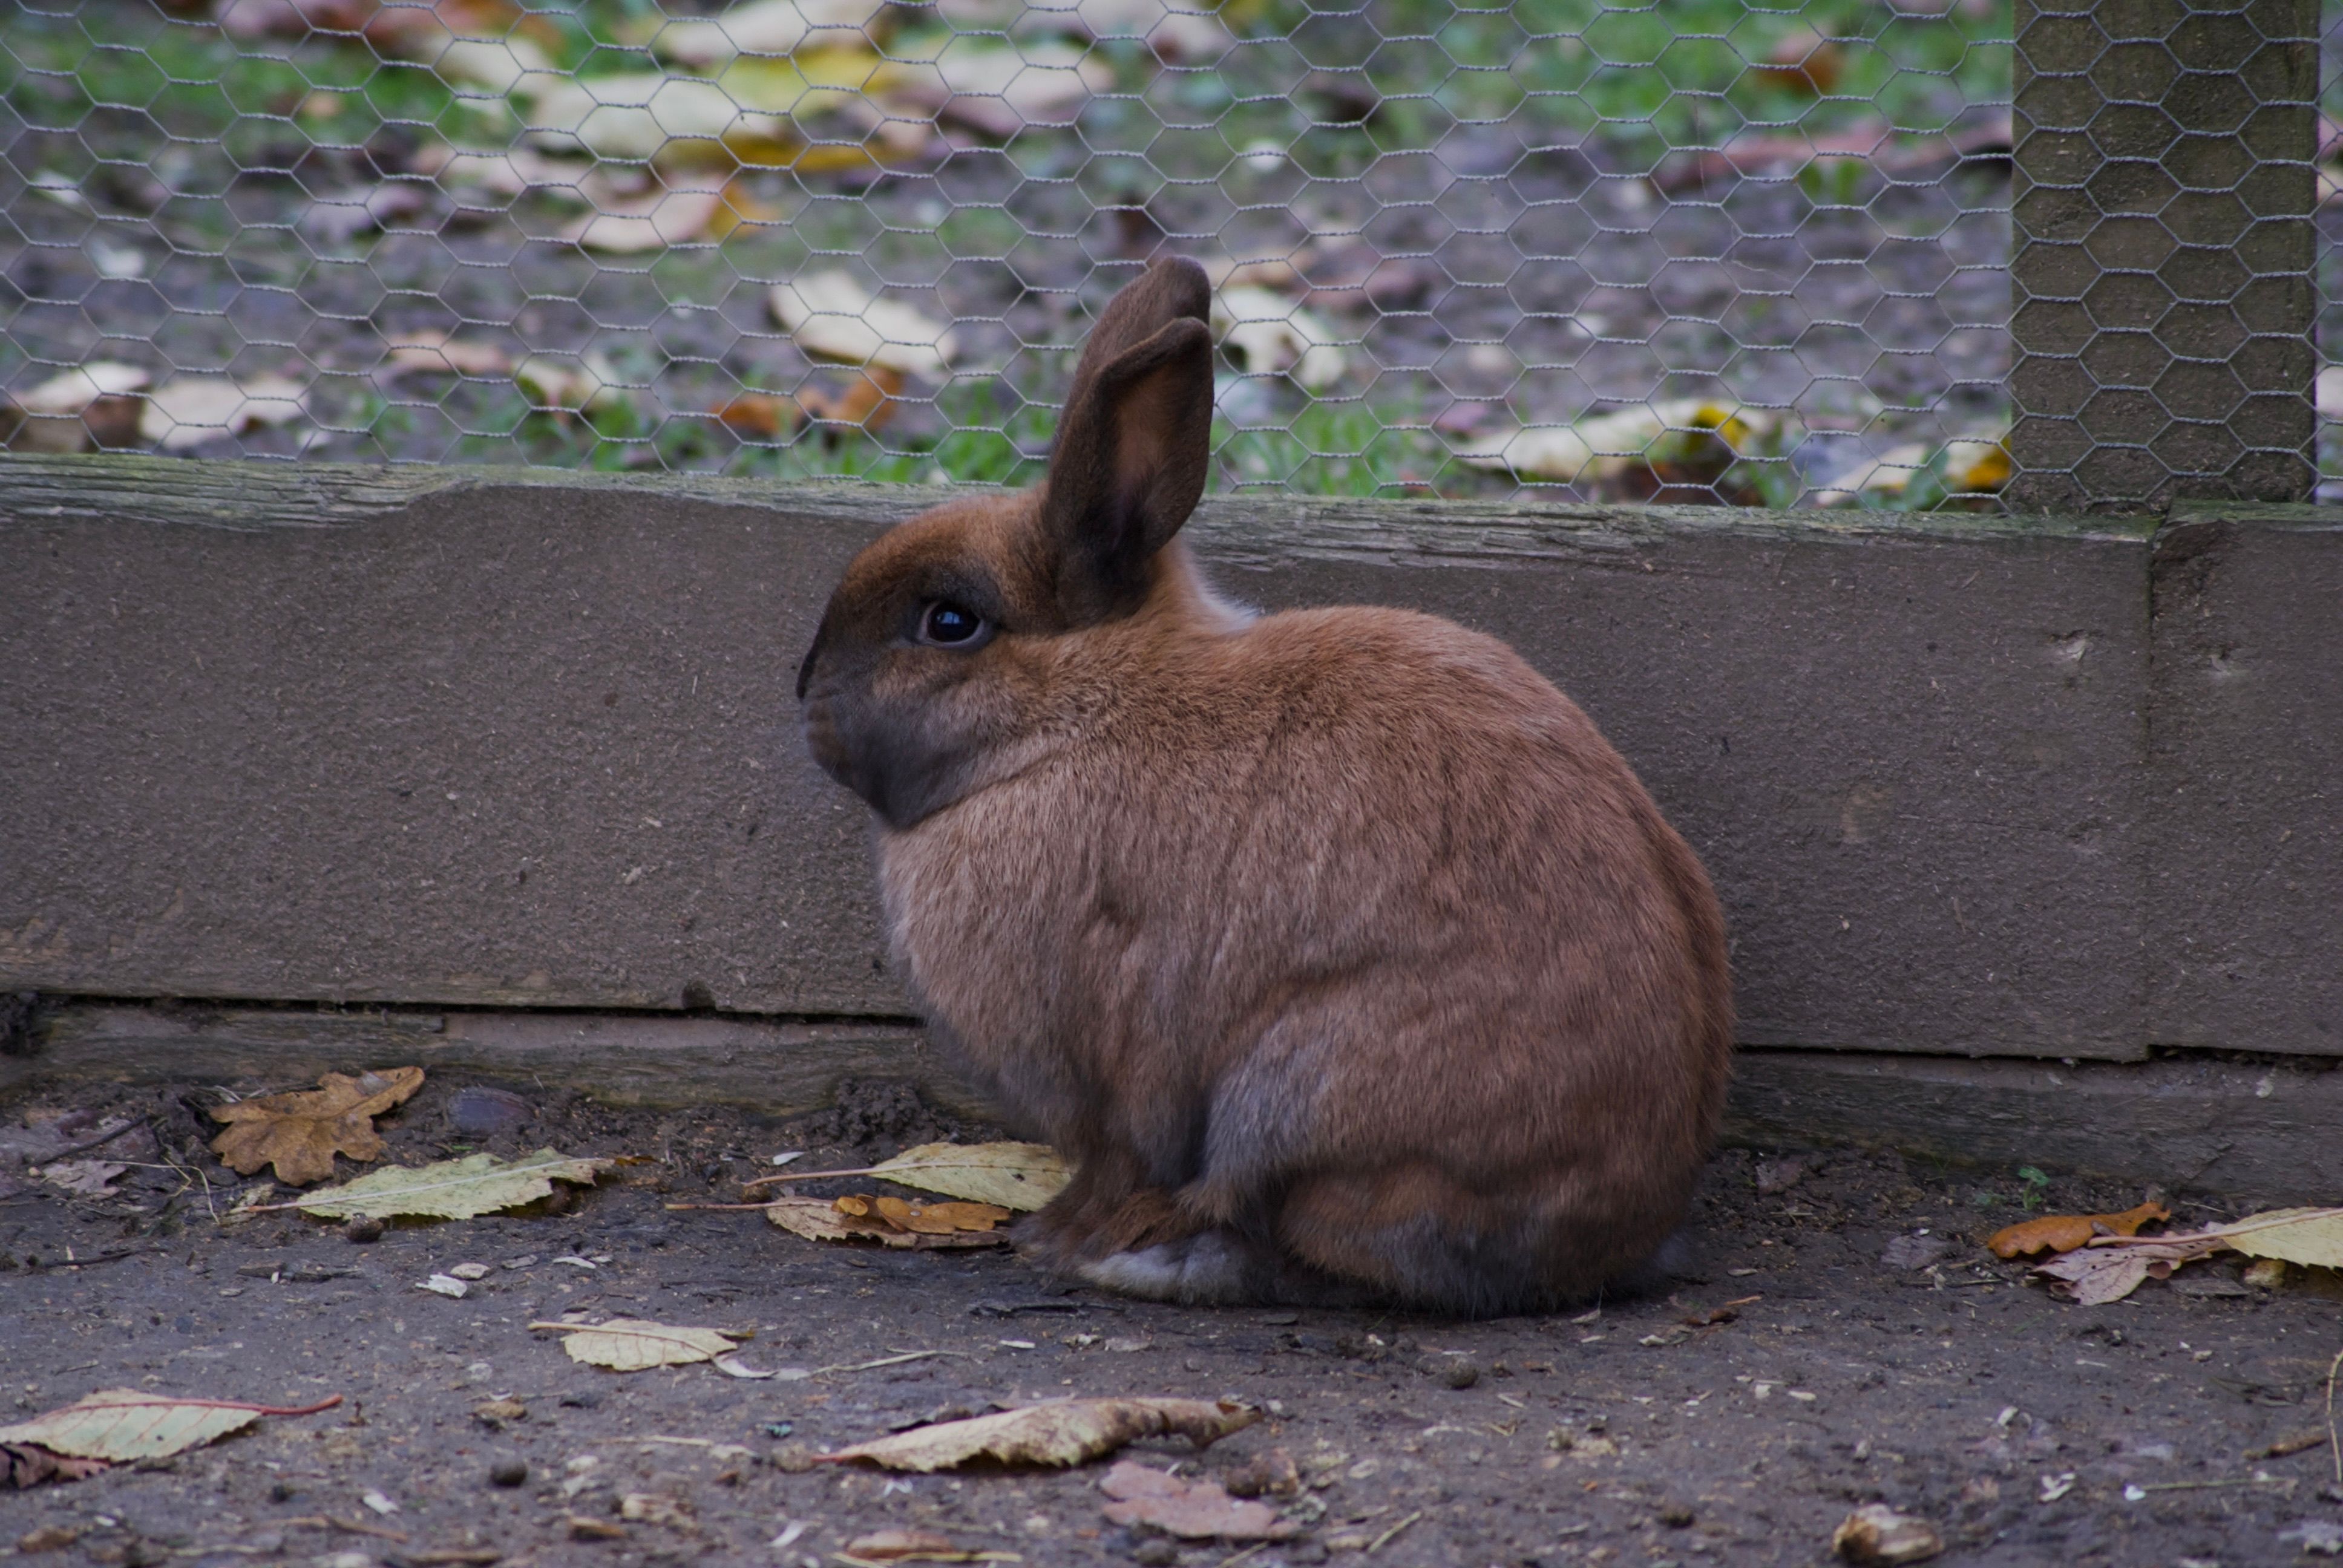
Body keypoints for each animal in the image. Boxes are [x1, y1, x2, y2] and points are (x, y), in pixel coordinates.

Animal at [797, 255, 1732, 1315]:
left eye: (948, 623)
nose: (804, 692)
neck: (1074, 715)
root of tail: (1618, 1236)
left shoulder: (1111, 1072)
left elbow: (1118, 1161)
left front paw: (1053, 1242)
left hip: (1291, 1092)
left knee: (1300, 1238)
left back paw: (1152, 1264)